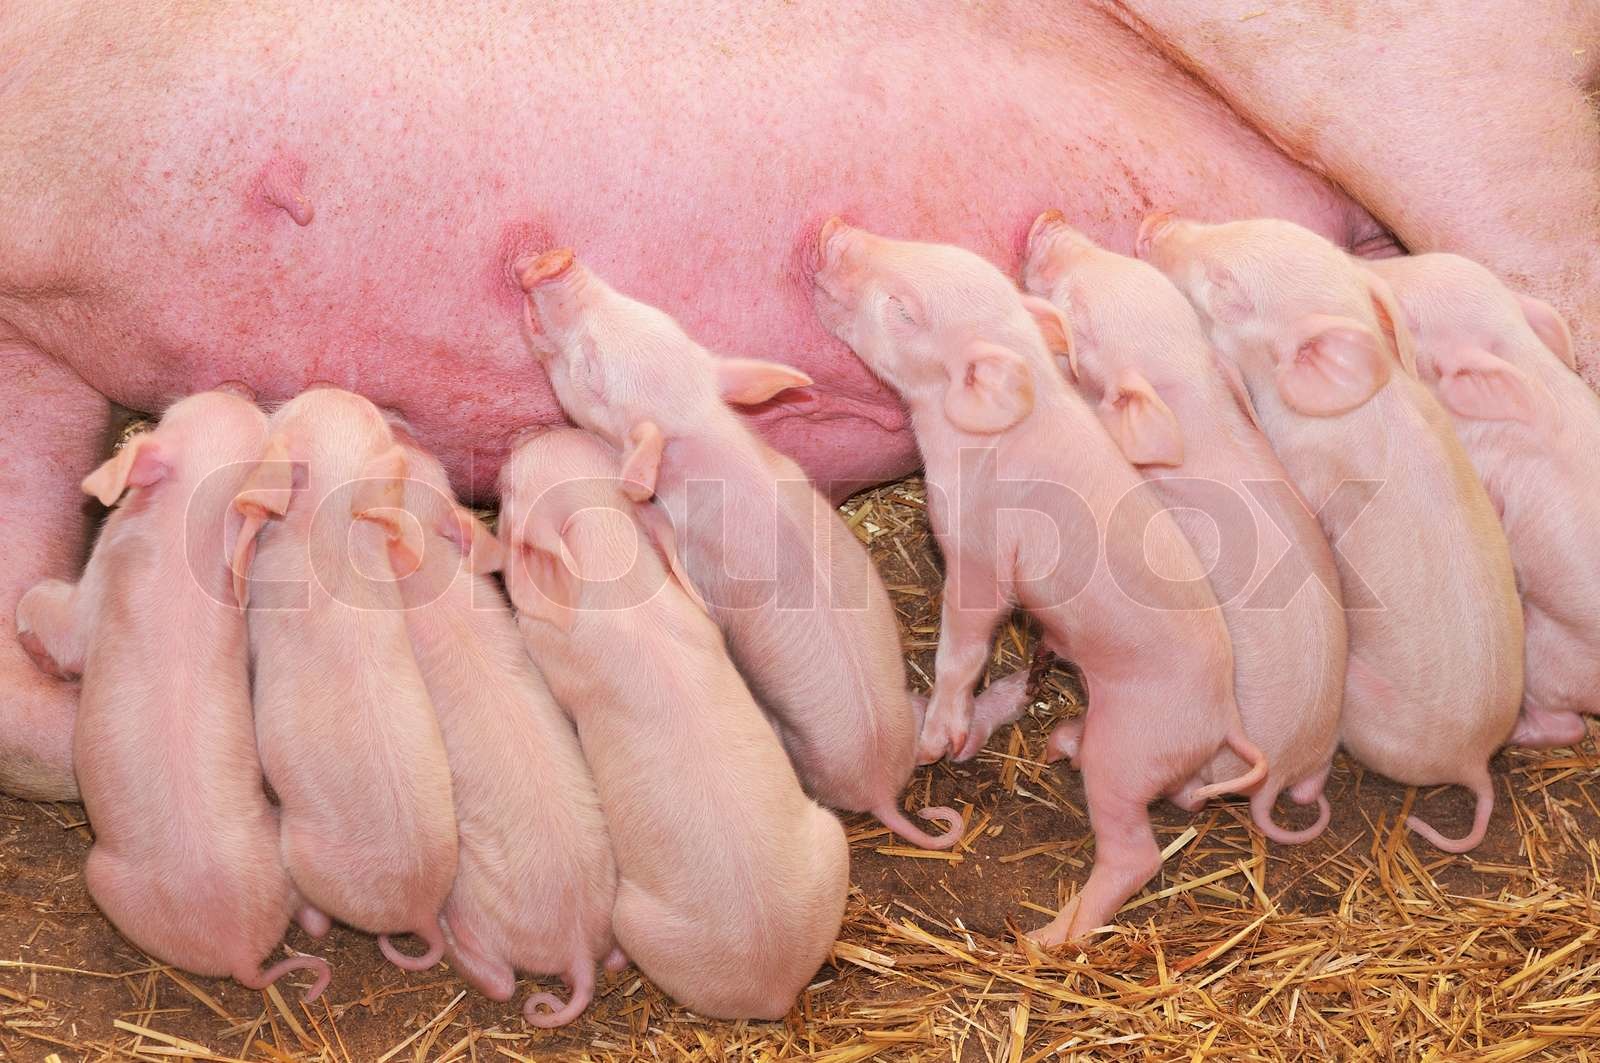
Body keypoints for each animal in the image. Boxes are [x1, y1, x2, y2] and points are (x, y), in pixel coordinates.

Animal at [14, 391, 331, 1000]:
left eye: (177, 411)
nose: (236, 384)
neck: (193, 525)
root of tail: (241, 955)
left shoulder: (100, 576)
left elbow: (59, 625)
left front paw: (23, 612)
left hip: (104, 877)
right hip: (275, 844)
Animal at [497, 428, 848, 1020]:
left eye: (510, 492)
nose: (535, 430)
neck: (610, 561)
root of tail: (777, 990)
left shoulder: (553, 654)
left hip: (633, 916)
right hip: (832, 839)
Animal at [810, 219, 1266, 945]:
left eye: (902, 308)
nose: (831, 229)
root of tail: (1224, 714)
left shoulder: (979, 549)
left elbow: (964, 644)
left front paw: (937, 740)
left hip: (1131, 748)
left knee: (1135, 852)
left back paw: (1047, 938)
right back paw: (1059, 746)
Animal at [1020, 216, 1346, 844]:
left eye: (1078, 313)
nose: (1047, 218)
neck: (1187, 407)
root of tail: (1281, 770)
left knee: (1184, 792)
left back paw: (1066, 743)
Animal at [1138, 214, 1524, 853]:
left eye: (1226, 286)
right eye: (1248, 220)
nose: (1154, 223)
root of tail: (1474, 762)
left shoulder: (1304, 467)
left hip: (1360, 701)